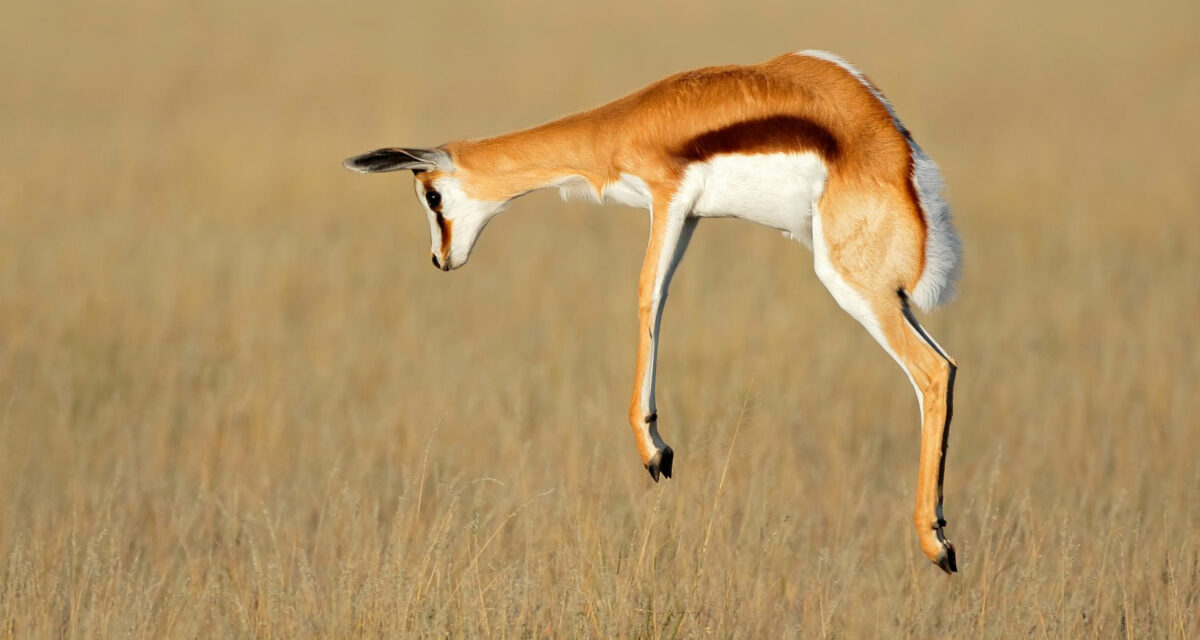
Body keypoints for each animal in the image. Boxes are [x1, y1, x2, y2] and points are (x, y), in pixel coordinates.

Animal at [343, 50, 963, 573]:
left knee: (933, 371)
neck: (622, 127)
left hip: (849, 283)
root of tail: (904, 167)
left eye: (431, 196)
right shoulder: (687, 218)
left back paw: (937, 544)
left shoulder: (669, 200)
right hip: (888, 297)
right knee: (947, 366)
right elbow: (659, 297)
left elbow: (646, 294)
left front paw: (654, 451)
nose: (439, 259)